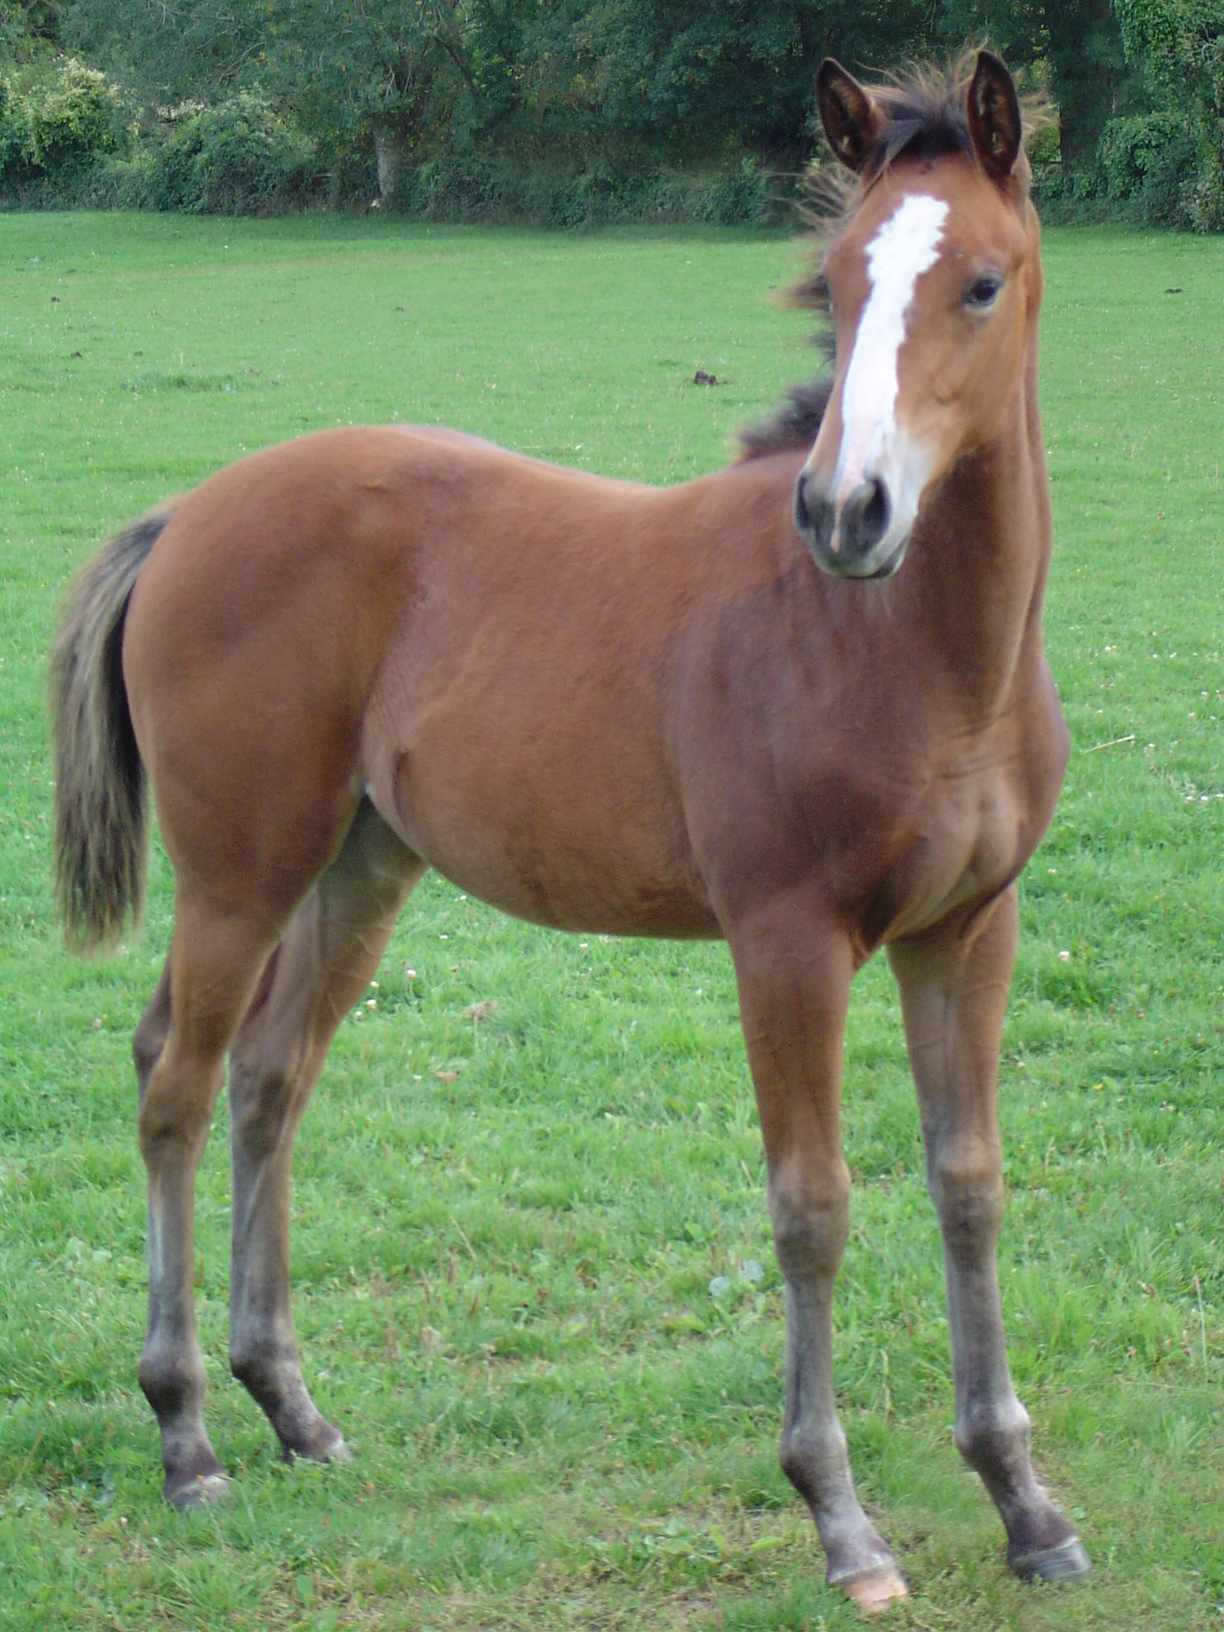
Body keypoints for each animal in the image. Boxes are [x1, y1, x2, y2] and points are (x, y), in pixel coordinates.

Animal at [50, 50, 1090, 1612]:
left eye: (979, 281)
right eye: (839, 279)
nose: (846, 508)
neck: (914, 652)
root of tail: (186, 515)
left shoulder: (969, 929)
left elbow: (968, 1188)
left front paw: (1025, 1504)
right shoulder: (786, 940)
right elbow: (813, 1205)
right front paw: (841, 1522)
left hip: (360, 866)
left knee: (271, 1080)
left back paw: (291, 1409)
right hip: (240, 871)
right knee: (176, 1079)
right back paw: (187, 1440)